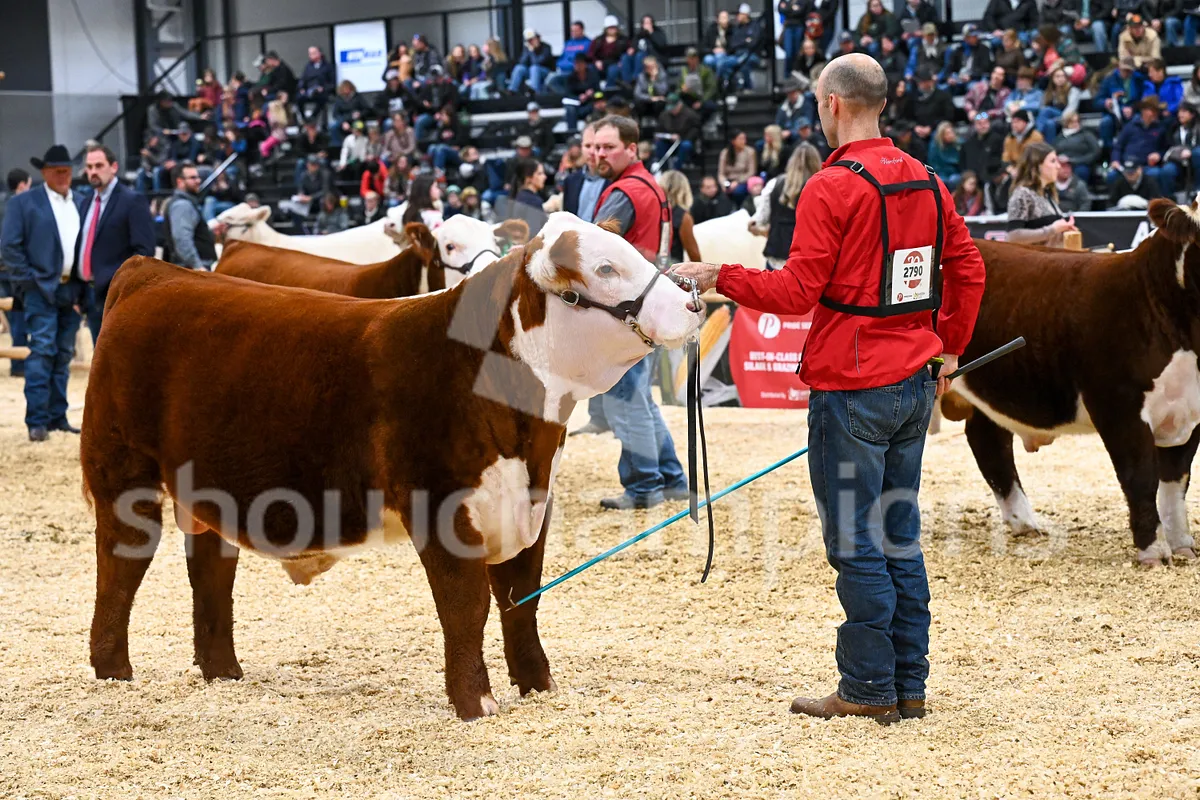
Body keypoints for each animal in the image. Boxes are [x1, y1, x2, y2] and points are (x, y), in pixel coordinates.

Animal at [942, 199, 1200, 567]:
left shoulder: (1189, 410)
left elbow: (1175, 481)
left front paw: (1182, 545)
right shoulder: (1118, 407)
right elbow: (1140, 476)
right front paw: (1152, 551)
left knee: (988, 442)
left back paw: (1025, 523)